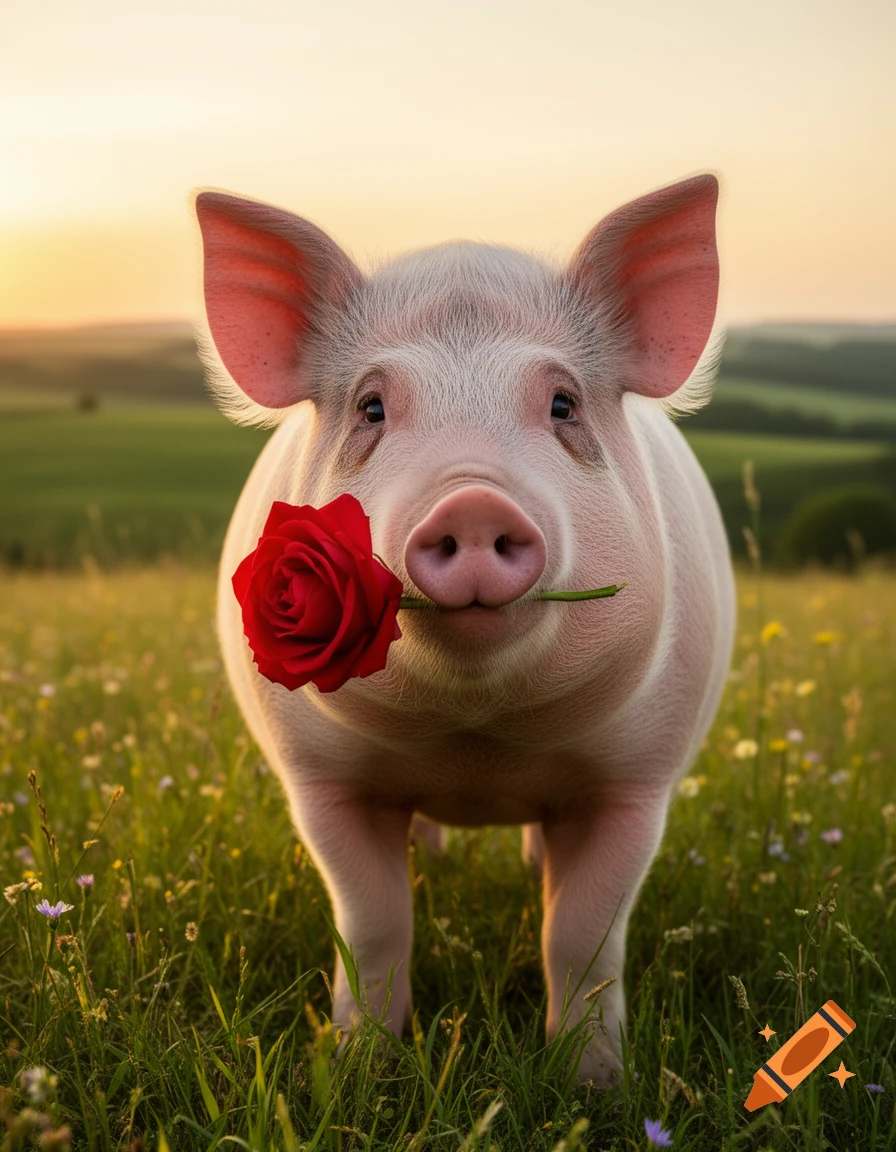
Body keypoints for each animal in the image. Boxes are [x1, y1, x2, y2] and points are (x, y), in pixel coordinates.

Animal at [193, 173, 736, 1083]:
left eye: (562, 403)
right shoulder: (319, 780)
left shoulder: (637, 782)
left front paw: (594, 1086)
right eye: (373, 406)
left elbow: (582, 937)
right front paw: (359, 1071)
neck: (477, 745)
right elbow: (374, 923)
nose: (473, 501)